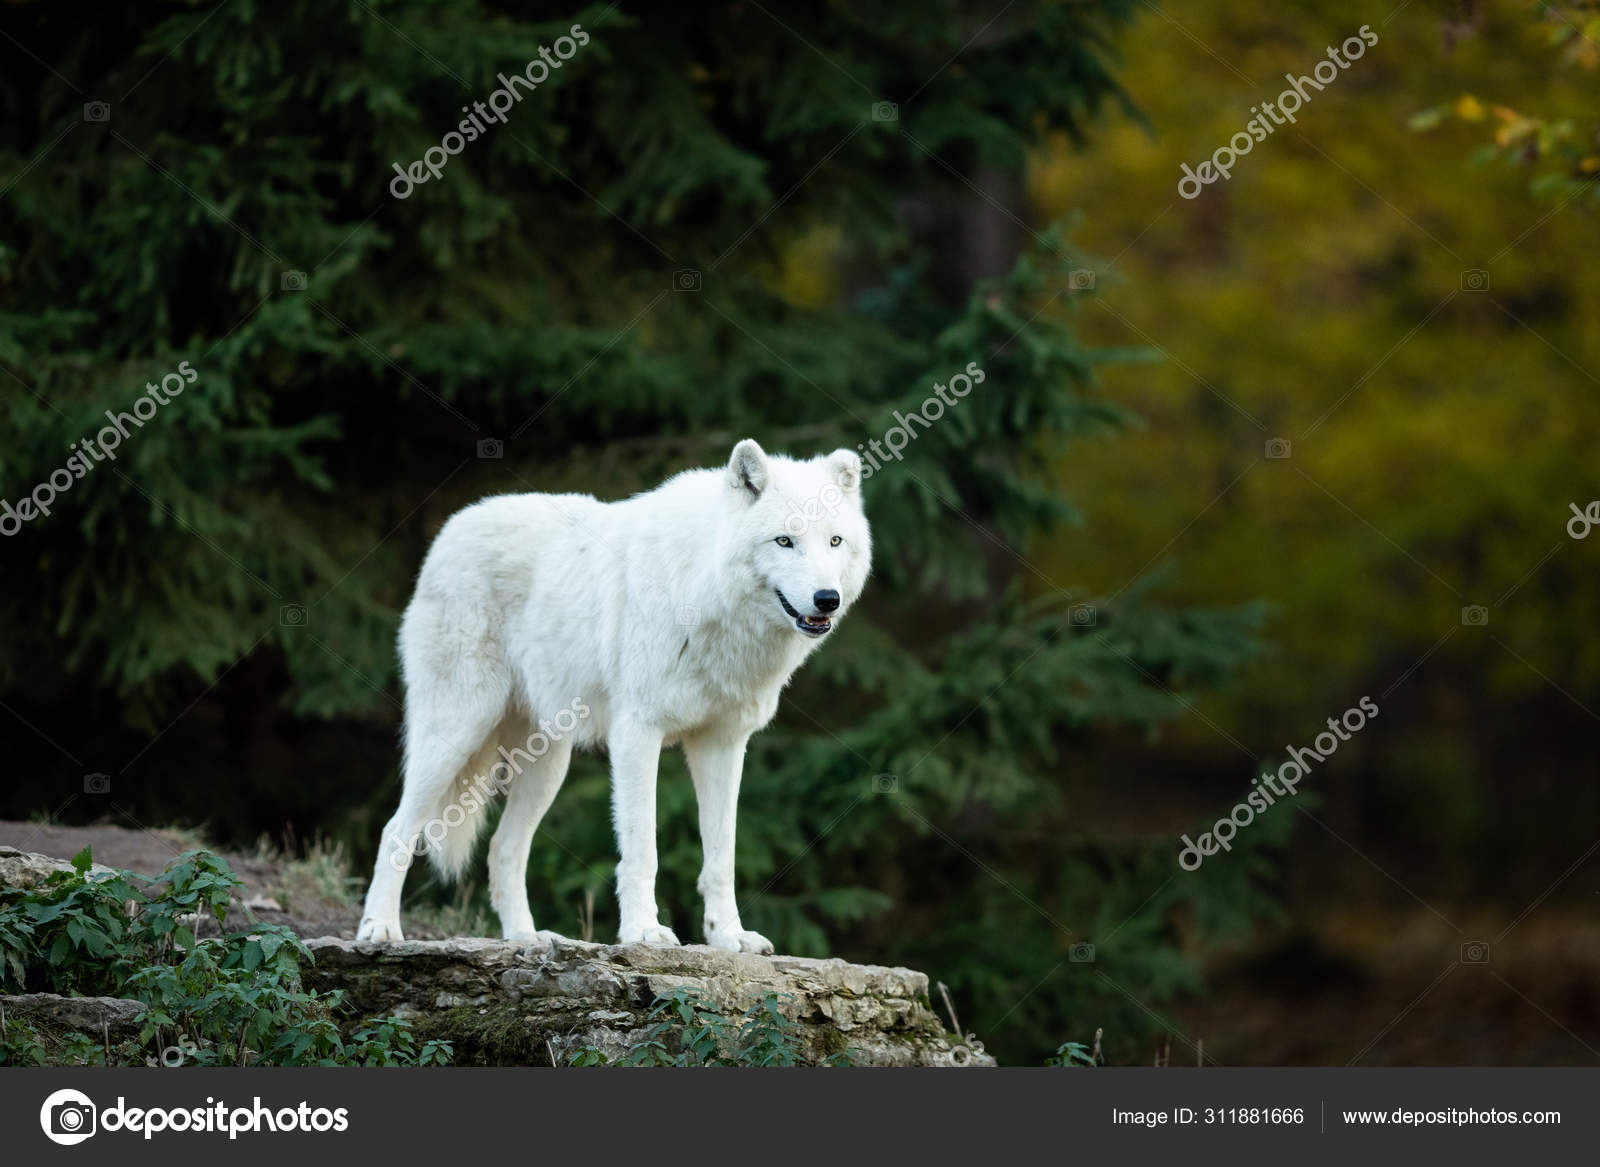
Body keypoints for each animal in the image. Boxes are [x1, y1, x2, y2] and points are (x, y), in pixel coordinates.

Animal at [356, 439, 871, 952]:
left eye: (834, 542)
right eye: (784, 541)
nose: (827, 599)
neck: (705, 592)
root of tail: (452, 528)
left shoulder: (722, 744)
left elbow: (721, 858)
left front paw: (728, 937)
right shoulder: (637, 735)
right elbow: (643, 848)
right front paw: (643, 932)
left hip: (547, 765)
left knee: (504, 849)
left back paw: (526, 938)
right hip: (457, 733)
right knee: (395, 829)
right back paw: (379, 929)